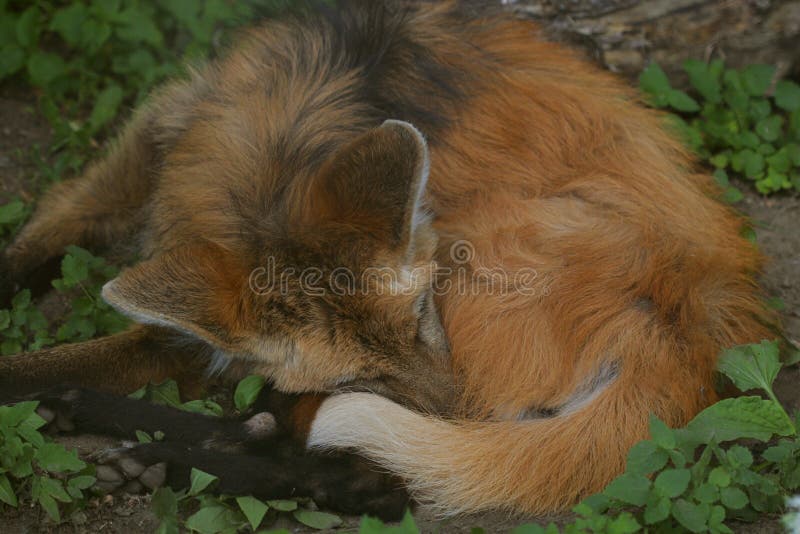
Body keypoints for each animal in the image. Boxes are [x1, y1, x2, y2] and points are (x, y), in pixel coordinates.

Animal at [0, 0, 776, 519]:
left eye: (425, 317)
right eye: (363, 372)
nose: (460, 409)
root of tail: (691, 332)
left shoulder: (197, 342)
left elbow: (62, 362)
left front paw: (51, 388)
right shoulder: (159, 148)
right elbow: (39, 240)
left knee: (342, 461)